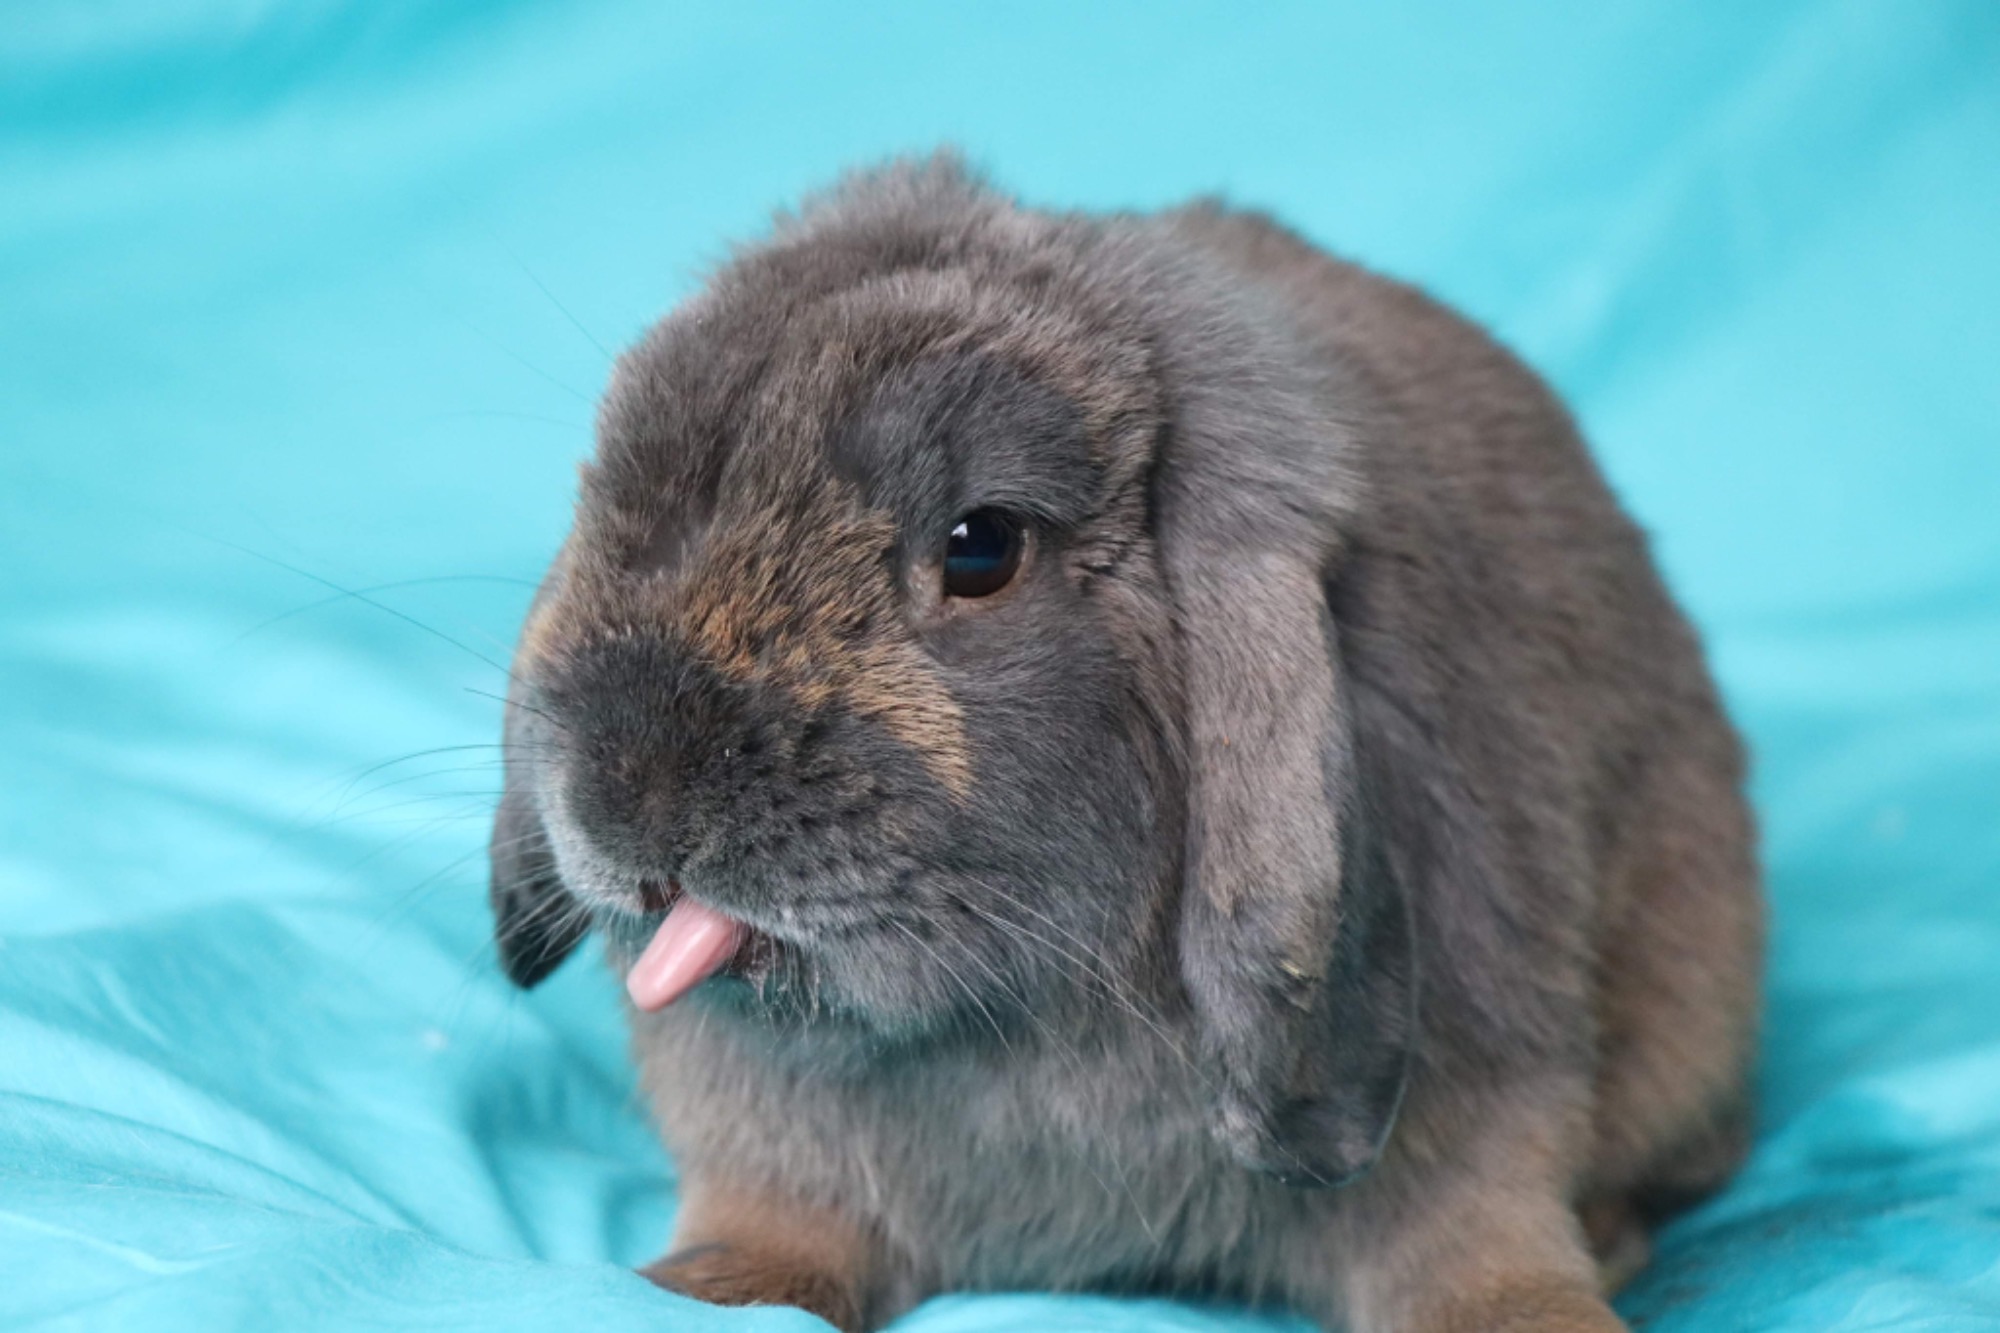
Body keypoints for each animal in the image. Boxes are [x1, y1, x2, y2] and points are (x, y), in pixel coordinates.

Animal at [487, 153, 1762, 1333]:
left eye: (980, 546)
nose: (627, 791)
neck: (1009, 1023)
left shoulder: (1485, 1104)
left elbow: (1476, 1248)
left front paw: (1539, 1309)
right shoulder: (771, 1155)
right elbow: (776, 1230)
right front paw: (698, 1288)